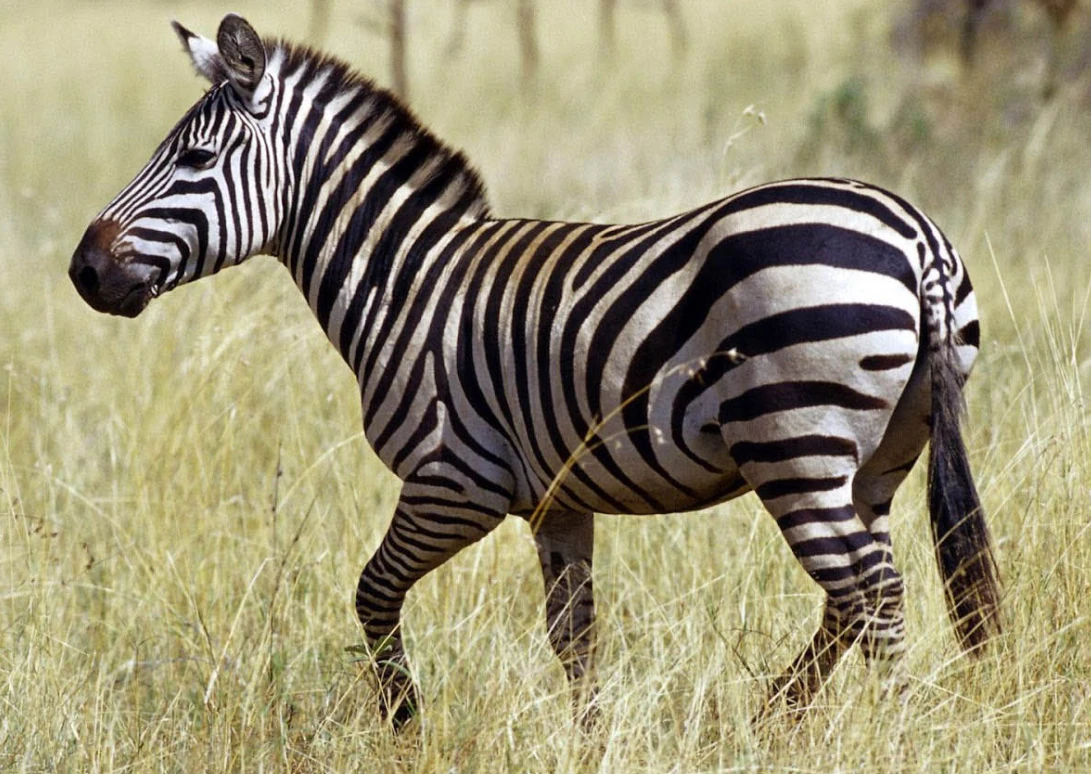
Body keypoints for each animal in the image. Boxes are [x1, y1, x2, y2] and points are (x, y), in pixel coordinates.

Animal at [69, 14, 1001, 727]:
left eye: (194, 162)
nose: (84, 271)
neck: (406, 280)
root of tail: (916, 234)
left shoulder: (457, 479)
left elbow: (372, 593)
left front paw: (405, 724)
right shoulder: (558, 499)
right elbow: (573, 636)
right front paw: (587, 738)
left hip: (793, 445)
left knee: (872, 592)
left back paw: (886, 730)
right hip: (878, 454)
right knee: (855, 593)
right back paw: (775, 714)